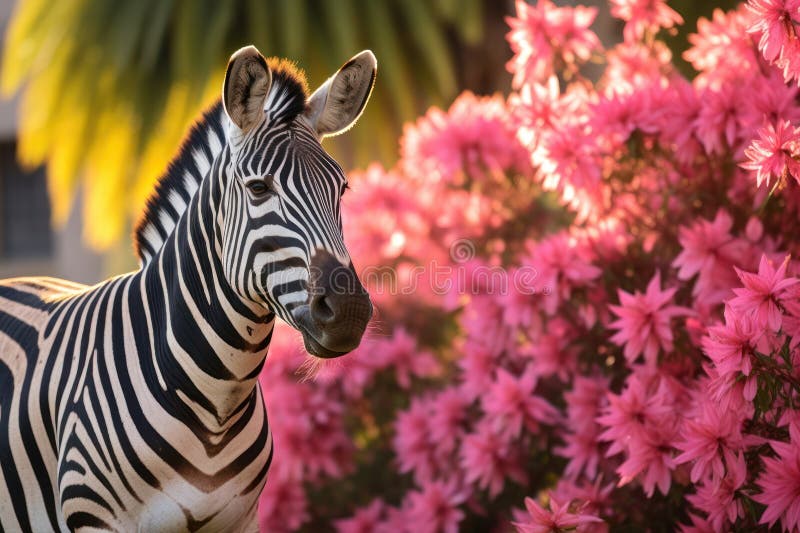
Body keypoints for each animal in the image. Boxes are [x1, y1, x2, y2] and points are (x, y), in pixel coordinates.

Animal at [0, 45, 376, 531]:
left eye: (342, 189)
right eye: (258, 188)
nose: (349, 310)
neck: (217, 402)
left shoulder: (241, 519)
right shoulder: (95, 519)